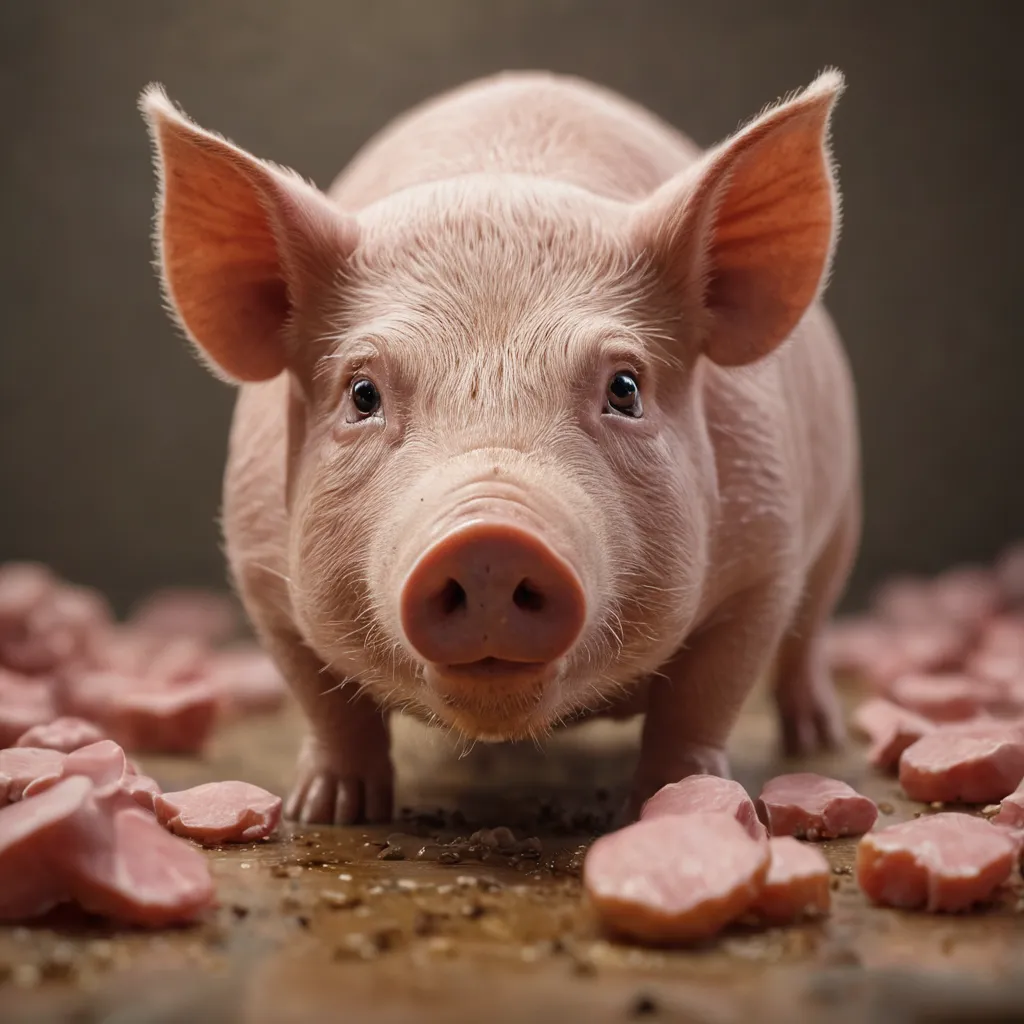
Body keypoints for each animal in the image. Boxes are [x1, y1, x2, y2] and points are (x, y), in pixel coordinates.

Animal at [139, 69, 860, 825]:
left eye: (625, 387)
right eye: (362, 394)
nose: (490, 539)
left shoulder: (765, 555)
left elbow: (706, 696)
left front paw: (685, 801)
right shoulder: (259, 567)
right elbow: (324, 699)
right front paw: (328, 811)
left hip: (841, 520)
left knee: (809, 631)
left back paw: (818, 738)